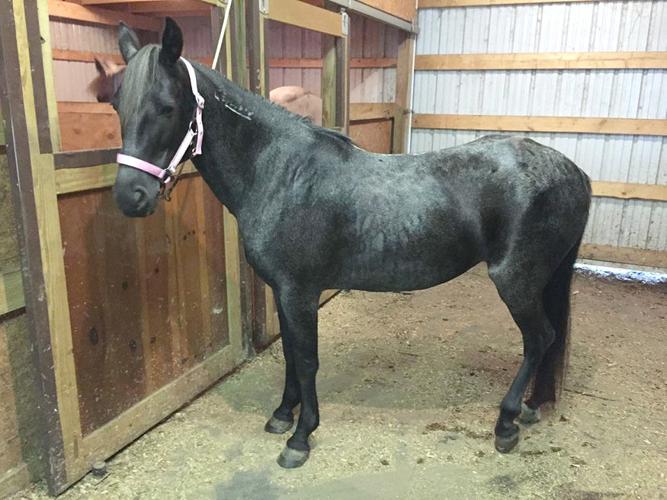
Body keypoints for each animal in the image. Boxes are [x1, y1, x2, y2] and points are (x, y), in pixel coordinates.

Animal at [111, 18, 591, 469]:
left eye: (167, 107)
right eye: (117, 106)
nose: (130, 196)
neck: (281, 173)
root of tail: (573, 171)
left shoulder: (300, 293)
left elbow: (307, 359)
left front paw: (300, 437)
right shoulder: (283, 291)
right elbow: (290, 353)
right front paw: (282, 415)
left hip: (515, 280)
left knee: (539, 338)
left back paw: (507, 423)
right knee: (549, 339)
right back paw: (531, 407)